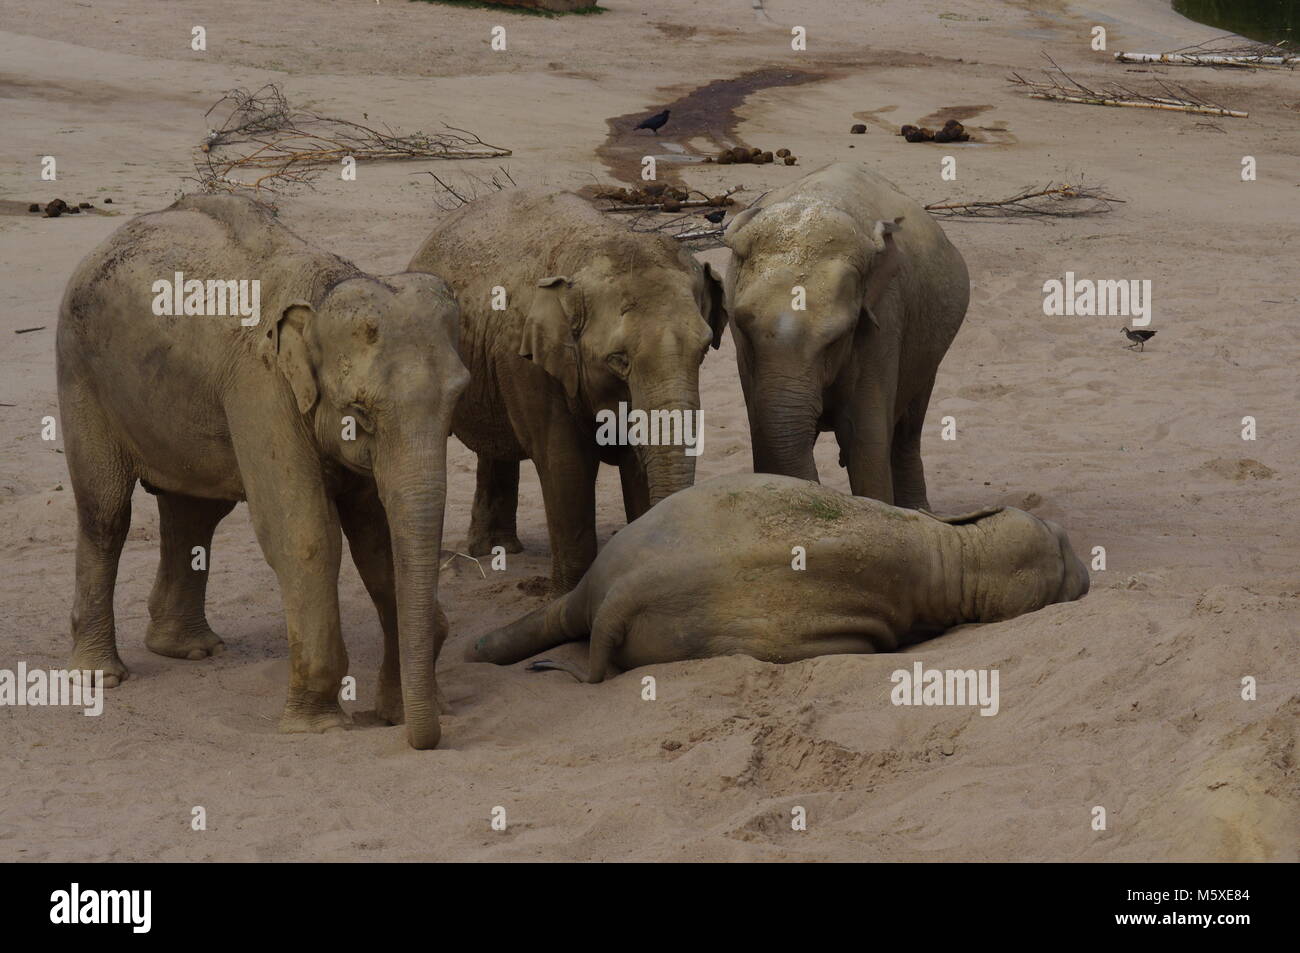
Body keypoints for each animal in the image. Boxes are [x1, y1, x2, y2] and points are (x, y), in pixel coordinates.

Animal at [56, 194, 468, 749]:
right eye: (360, 413)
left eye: (458, 401)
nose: (426, 735)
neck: (325, 289)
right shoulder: (261, 388)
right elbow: (304, 533)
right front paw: (318, 726)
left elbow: (376, 538)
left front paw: (398, 711)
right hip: (80, 372)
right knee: (105, 511)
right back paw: (99, 677)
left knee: (195, 512)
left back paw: (189, 649)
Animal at [409, 188, 726, 593]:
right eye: (617, 359)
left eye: (703, 349)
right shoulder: (526, 363)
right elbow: (564, 464)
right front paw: (568, 596)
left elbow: (637, 462)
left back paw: (498, 549)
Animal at [467, 473, 1089, 681]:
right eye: (1062, 543)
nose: (1088, 573)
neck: (958, 549)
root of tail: (623, 594)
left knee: (567, 613)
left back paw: (479, 653)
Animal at [722, 162, 970, 509]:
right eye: (744, 325)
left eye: (838, 338)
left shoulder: (884, 318)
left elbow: (864, 439)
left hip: (929, 346)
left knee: (909, 426)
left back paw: (918, 510)